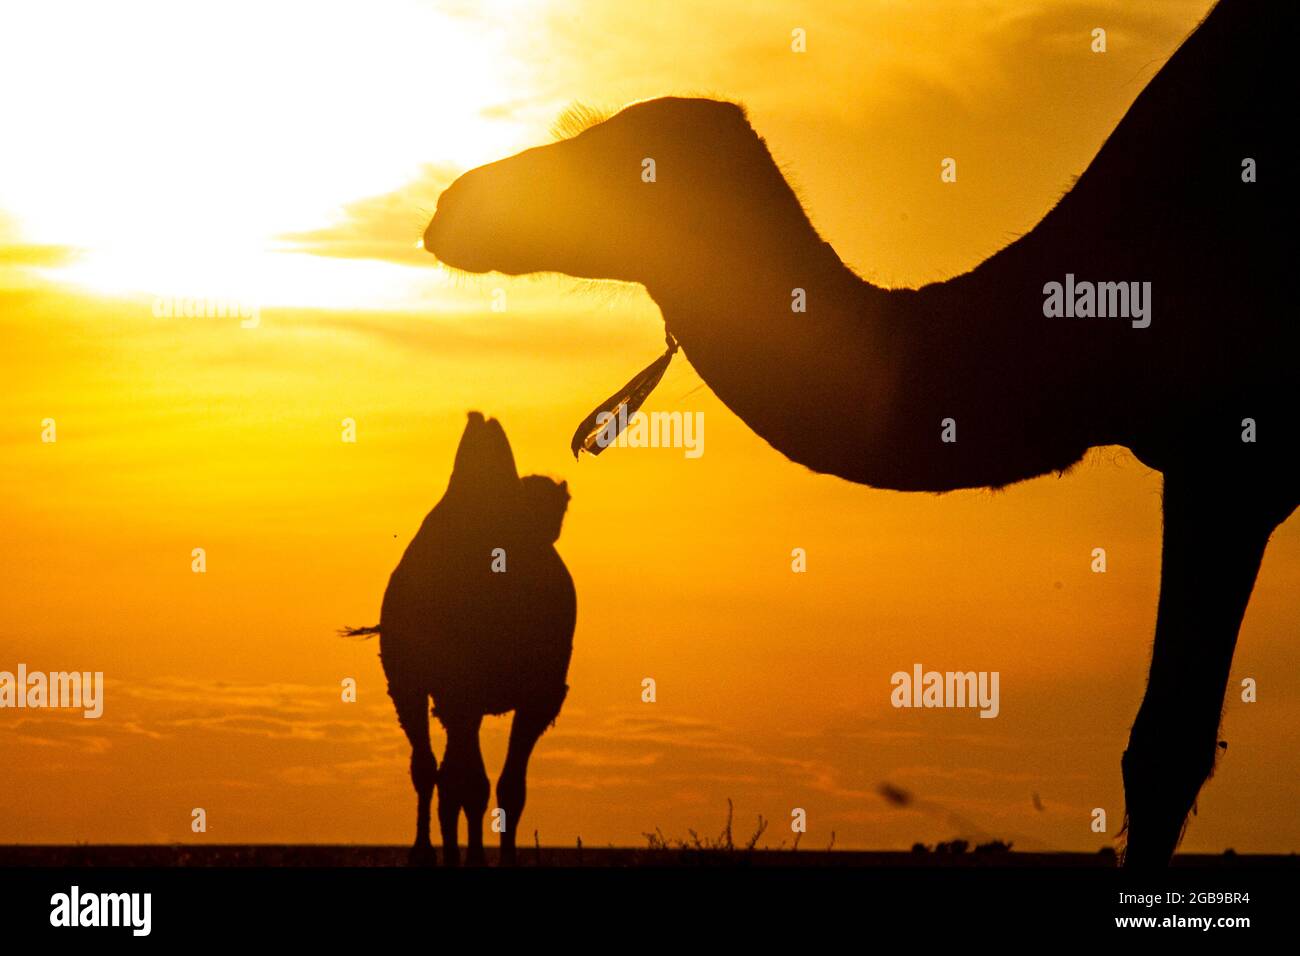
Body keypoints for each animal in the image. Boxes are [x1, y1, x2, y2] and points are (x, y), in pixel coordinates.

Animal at [348, 413, 576, 865]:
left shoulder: (538, 696)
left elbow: (510, 787)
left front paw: (504, 860)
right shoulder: (460, 692)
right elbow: (465, 782)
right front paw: (466, 858)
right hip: (412, 685)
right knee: (429, 767)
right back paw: (426, 853)